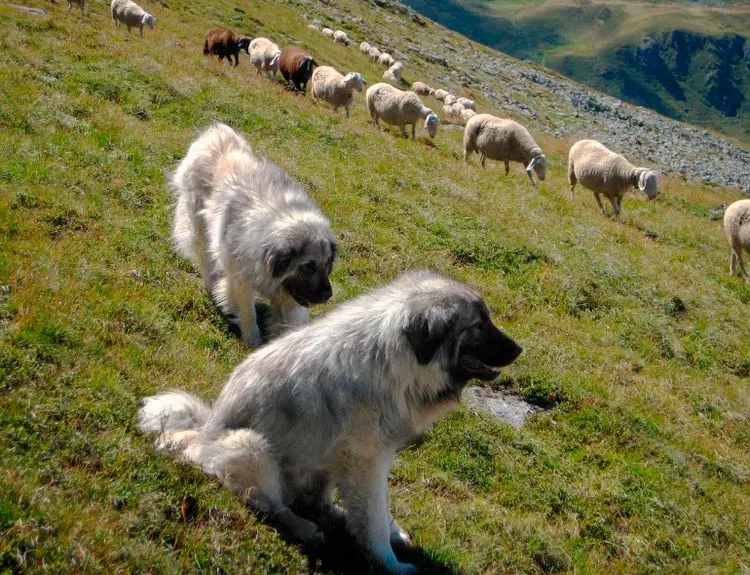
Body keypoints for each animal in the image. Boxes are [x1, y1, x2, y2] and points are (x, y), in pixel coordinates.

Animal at [138, 272, 524, 575]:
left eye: (488, 318)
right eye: (478, 325)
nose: (520, 349)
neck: (392, 359)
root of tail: (200, 436)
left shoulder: (367, 462)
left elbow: (376, 509)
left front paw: (390, 534)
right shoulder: (366, 460)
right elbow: (374, 518)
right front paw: (390, 563)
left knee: (317, 499)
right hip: (251, 446)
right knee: (268, 502)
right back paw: (305, 527)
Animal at [172, 122, 336, 346]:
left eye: (327, 264)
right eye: (308, 266)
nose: (328, 295)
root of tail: (217, 132)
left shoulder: (290, 297)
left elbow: (290, 323)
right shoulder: (241, 278)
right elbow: (248, 311)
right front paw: (253, 339)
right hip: (201, 229)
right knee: (207, 261)